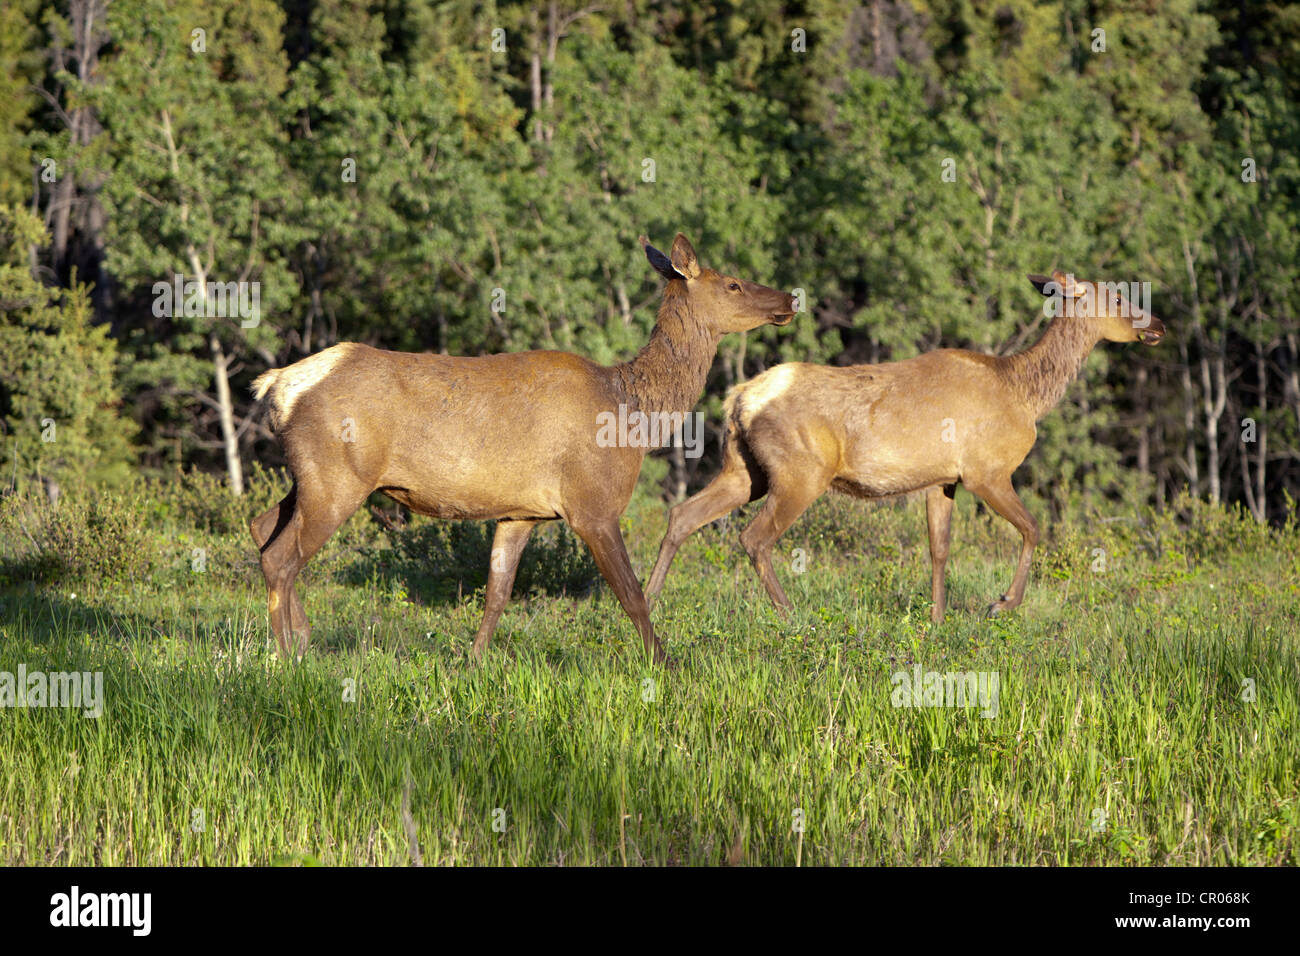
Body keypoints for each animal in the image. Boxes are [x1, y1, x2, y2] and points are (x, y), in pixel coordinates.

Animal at [249, 234, 795, 663]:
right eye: (733, 284)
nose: (789, 298)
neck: (632, 412)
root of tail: (276, 385)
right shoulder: (592, 503)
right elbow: (632, 594)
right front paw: (665, 663)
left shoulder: (521, 512)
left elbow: (497, 593)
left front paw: (473, 663)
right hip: (337, 477)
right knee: (281, 557)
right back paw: (287, 656)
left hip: (309, 477)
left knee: (261, 528)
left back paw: (301, 638)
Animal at [642, 270, 1167, 623]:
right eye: (1118, 295)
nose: (1158, 324)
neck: (1026, 395)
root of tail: (737, 399)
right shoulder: (987, 470)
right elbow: (1034, 528)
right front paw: (1001, 603)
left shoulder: (943, 479)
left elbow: (939, 548)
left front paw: (937, 619)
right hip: (800, 472)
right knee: (754, 537)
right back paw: (791, 614)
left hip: (743, 470)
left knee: (683, 514)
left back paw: (648, 600)